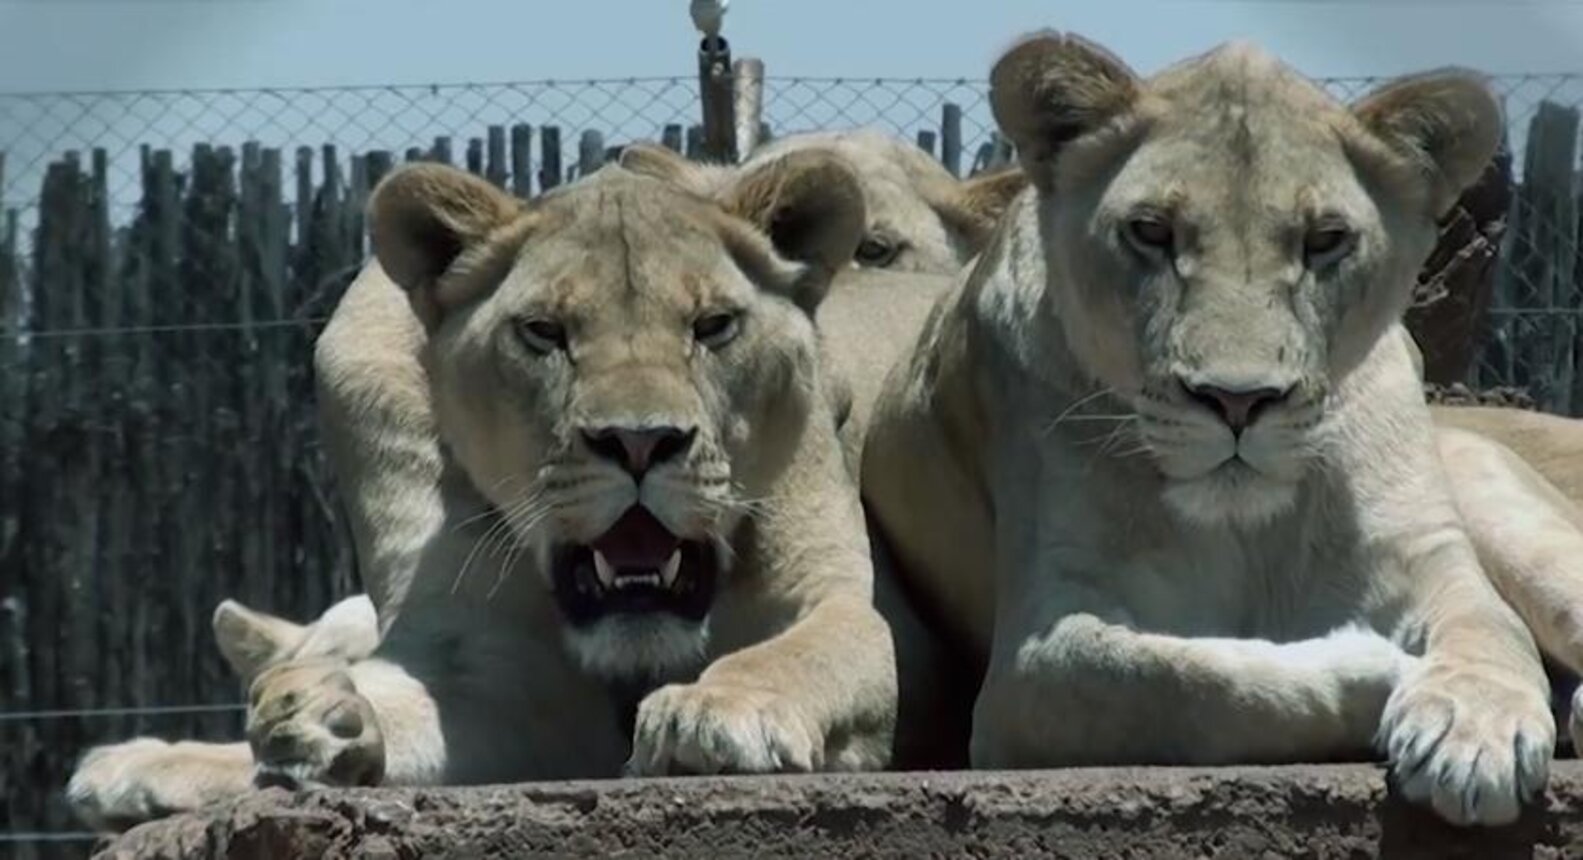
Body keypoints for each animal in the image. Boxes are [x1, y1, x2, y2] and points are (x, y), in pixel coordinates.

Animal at [67, 151, 961, 829]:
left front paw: (716, 713)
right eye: (543, 332)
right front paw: (325, 721)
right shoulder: (492, 670)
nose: (640, 441)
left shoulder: (846, 608)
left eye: (712, 327)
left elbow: (804, 652)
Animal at [860, 32, 1555, 827]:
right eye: (1150, 232)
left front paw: (1474, 731)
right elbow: (1177, 681)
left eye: (1325, 240)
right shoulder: (1033, 656)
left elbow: (1492, 630)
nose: (1236, 401)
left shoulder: (1423, 556)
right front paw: (1375, 665)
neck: (1246, 525)